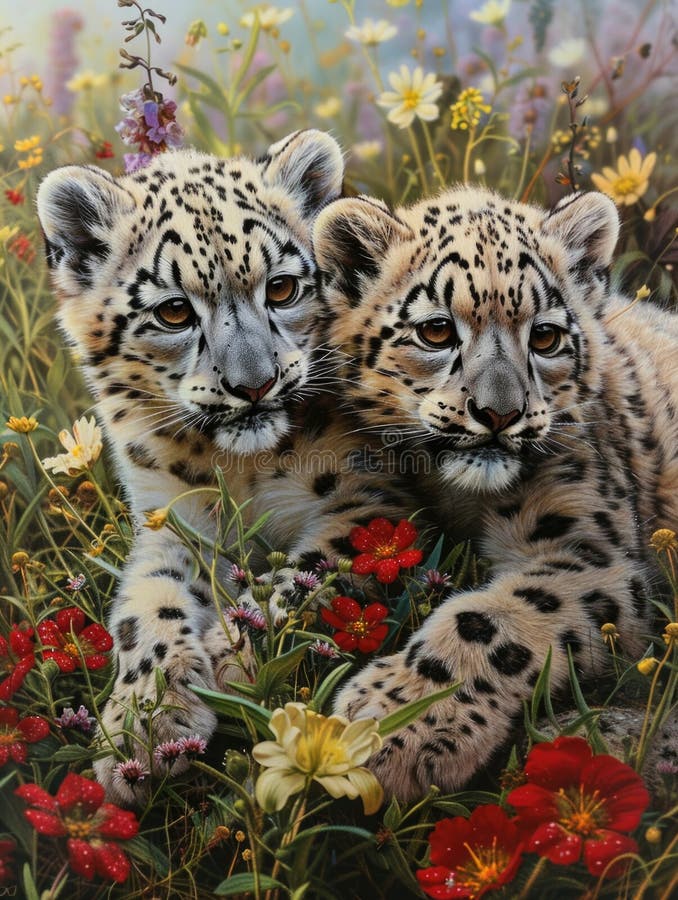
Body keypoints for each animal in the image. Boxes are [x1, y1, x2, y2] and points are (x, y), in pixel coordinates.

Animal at [36, 130, 417, 804]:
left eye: (284, 289)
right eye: (173, 312)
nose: (255, 384)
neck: (237, 471)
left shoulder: (372, 494)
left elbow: (309, 571)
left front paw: (234, 658)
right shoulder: (168, 521)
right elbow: (144, 606)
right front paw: (145, 723)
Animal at [312, 185, 678, 801]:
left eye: (546, 337)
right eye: (436, 331)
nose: (499, 413)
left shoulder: (592, 551)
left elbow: (493, 618)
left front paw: (396, 727)